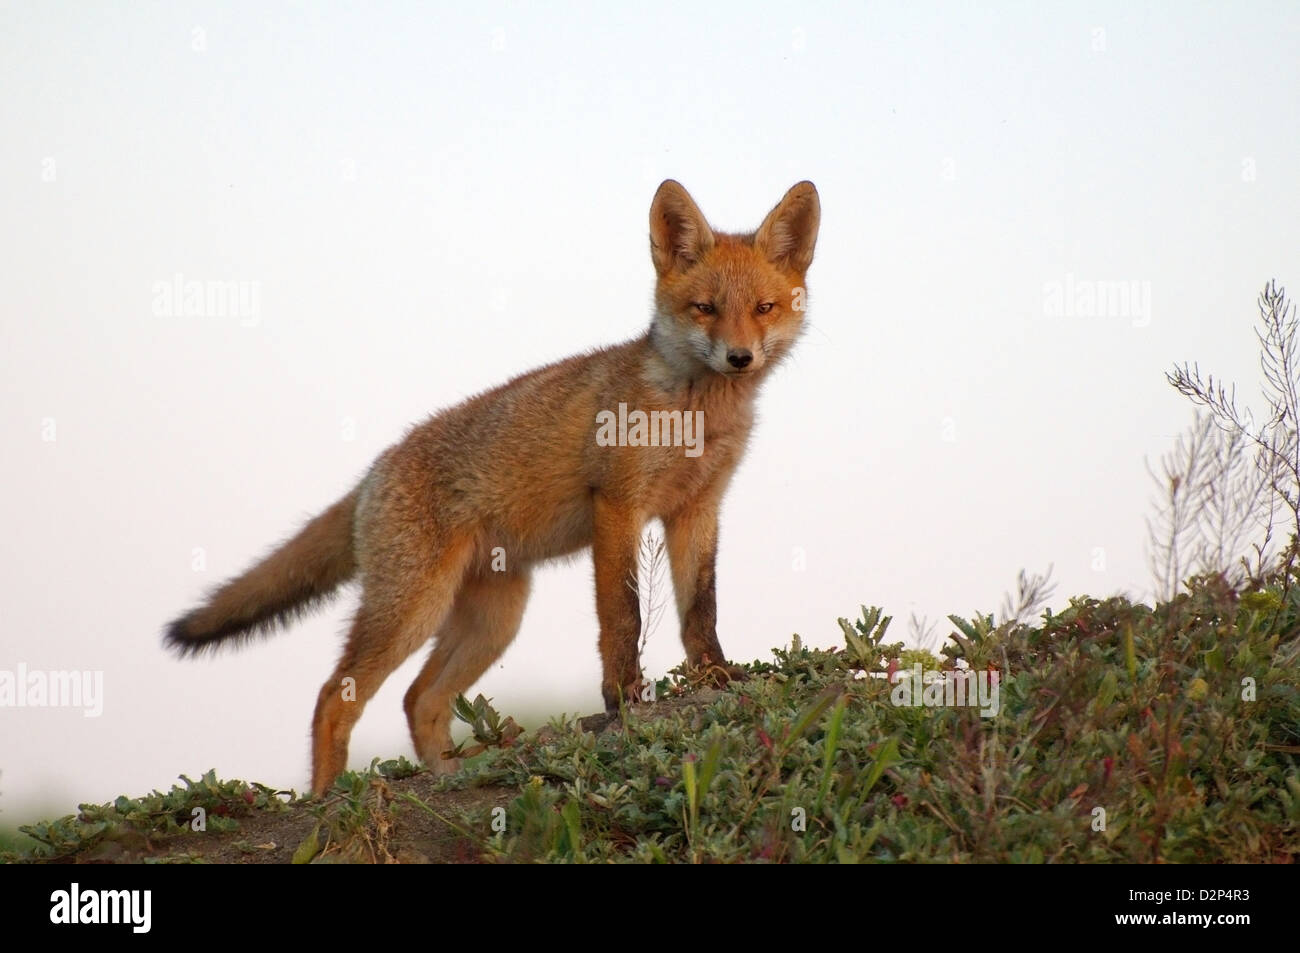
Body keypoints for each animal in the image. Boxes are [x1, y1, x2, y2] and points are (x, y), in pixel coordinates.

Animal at [165, 179, 820, 796]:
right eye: (704, 307)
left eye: (763, 307)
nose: (739, 357)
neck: (695, 416)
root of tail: (375, 469)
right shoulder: (618, 506)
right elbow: (623, 617)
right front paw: (623, 699)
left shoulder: (697, 510)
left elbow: (700, 610)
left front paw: (715, 677)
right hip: (412, 609)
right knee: (333, 697)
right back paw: (326, 798)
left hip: (493, 620)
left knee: (418, 700)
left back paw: (446, 776)